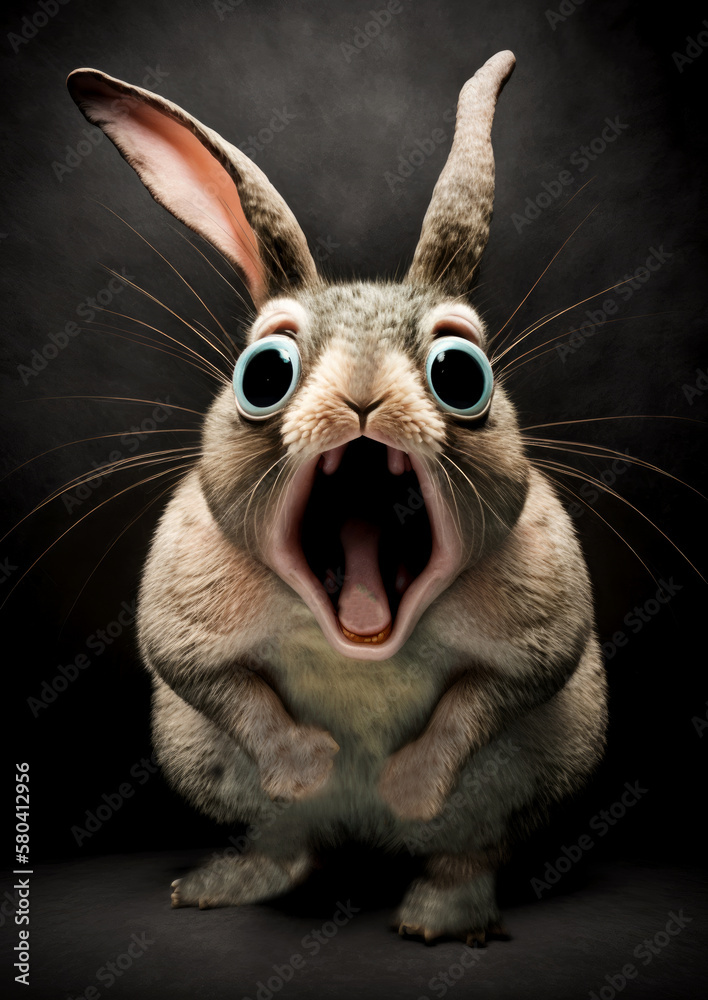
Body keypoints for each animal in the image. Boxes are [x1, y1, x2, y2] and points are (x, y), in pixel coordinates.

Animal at [66, 50, 607, 946]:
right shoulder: (183, 624)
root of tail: (360, 837)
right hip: (201, 759)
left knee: (472, 848)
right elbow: (215, 682)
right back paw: (225, 881)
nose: (362, 397)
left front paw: (409, 782)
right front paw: (309, 762)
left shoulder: (545, 633)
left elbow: (492, 695)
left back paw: (441, 914)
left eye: (462, 374)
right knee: (291, 842)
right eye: (264, 374)